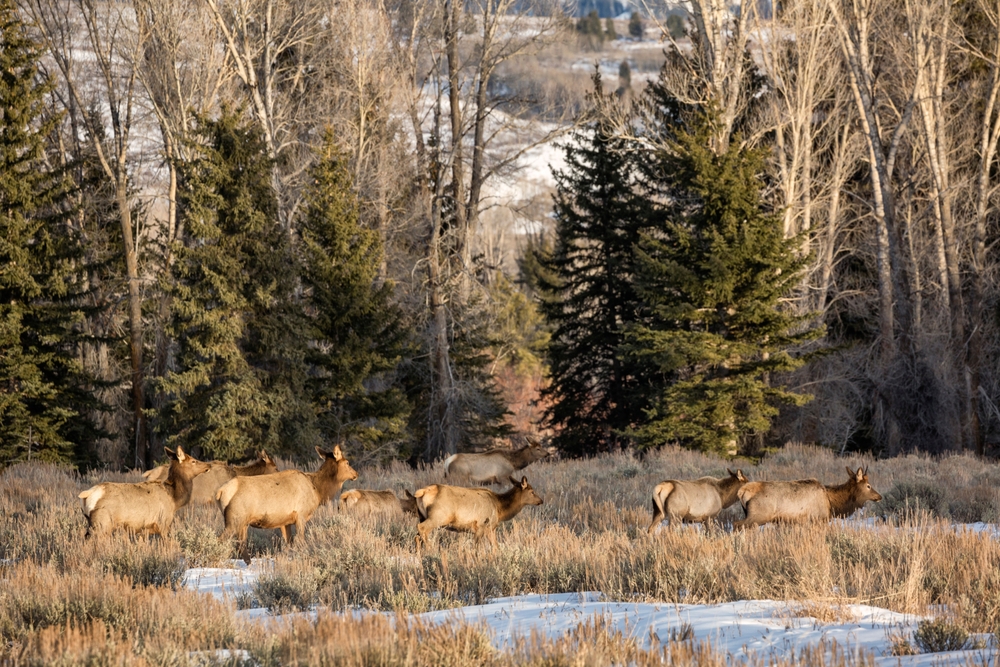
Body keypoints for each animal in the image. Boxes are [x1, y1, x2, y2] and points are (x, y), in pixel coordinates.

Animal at [78, 446, 211, 538]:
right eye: (193, 461)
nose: (208, 465)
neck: (174, 499)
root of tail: (88, 494)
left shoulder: (144, 529)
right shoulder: (163, 522)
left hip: (91, 522)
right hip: (102, 522)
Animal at [216, 445, 357, 562]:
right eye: (347, 462)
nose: (356, 474)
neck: (317, 490)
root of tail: (221, 491)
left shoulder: (285, 522)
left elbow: (288, 544)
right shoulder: (301, 515)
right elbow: (300, 542)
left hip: (243, 523)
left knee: (241, 545)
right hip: (234, 519)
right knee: (220, 540)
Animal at [413, 476, 543, 550]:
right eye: (532, 492)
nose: (541, 500)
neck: (500, 508)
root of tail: (423, 492)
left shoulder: (490, 529)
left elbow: (495, 547)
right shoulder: (481, 525)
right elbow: (476, 547)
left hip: (423, 516)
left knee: (417, 536)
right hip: (438, 517)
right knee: (422, 528)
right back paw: (430, 549)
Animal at [734, 466, 883, 530]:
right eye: (868, 486)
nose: (879, 496)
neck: (832, 502)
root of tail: (742, 491)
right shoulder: (818, 519)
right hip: (759, 515)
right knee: (737, 524)